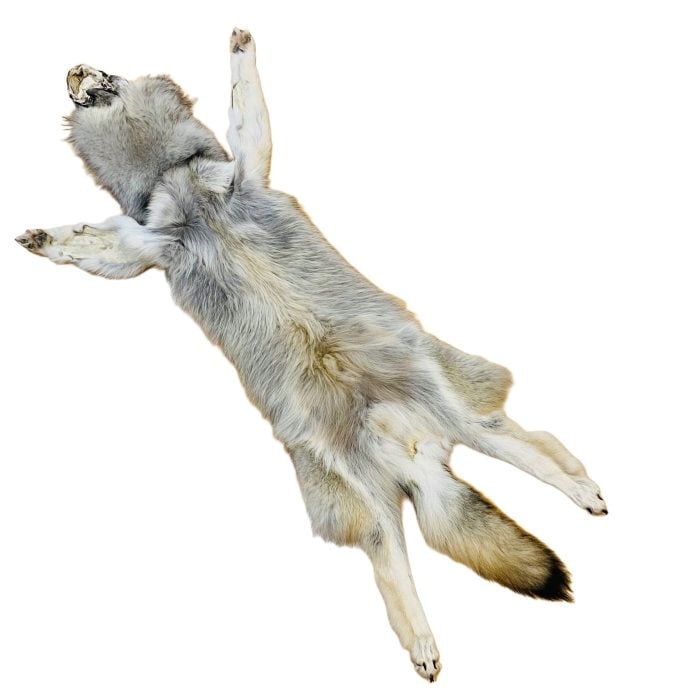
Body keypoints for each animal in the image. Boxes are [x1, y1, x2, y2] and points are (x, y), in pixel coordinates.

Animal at [16, 29, 606, 681]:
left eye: (103, 70)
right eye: (77, 78)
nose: (72, 67)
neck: (170, 174)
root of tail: (415, 456)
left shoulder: (241, 170)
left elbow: (245, 100)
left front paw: (240, 48)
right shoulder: (145, 243)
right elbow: (85, 246)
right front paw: (45, 238)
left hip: (459, 412)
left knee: (542, 455)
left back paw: (581, 491)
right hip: (366, 503)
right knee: (397, 573)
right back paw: (423, 642)